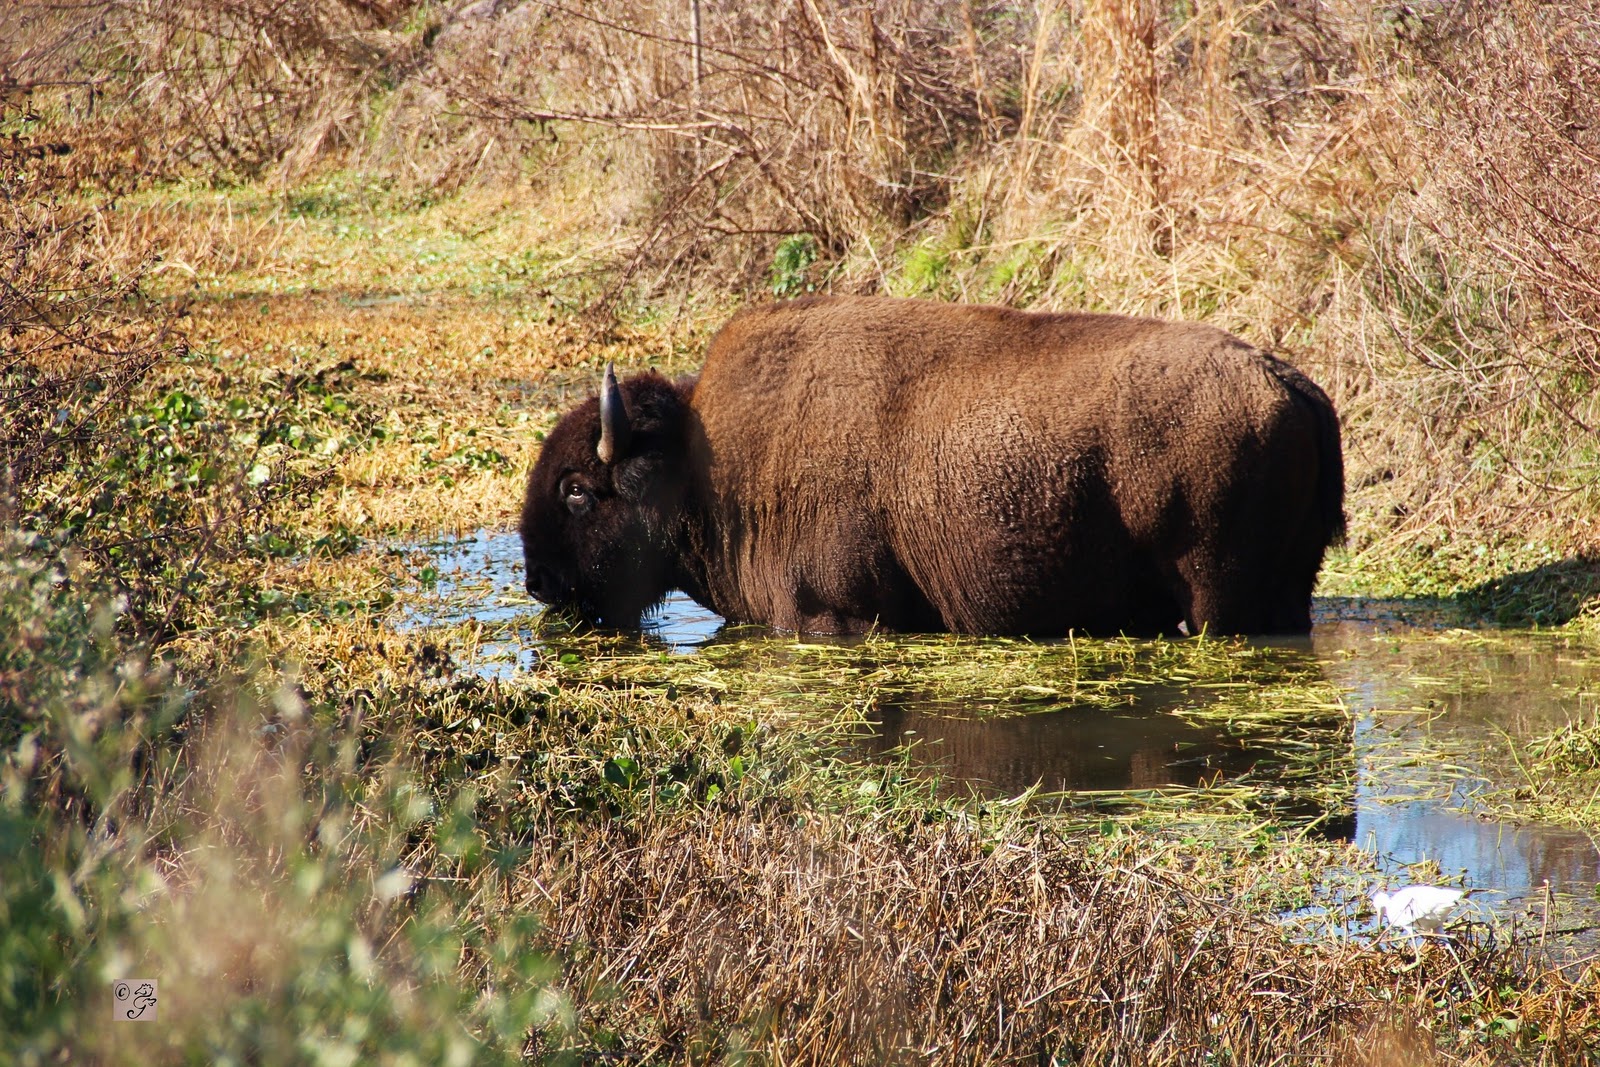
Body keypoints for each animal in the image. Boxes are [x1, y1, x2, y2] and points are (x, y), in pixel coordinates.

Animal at [520, 296, 1343, 636]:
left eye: (577, 492)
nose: (538, 582)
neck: (701, 462)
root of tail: (1287, 383)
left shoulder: (835, 614)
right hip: (1286, 590)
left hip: (1216, 600)